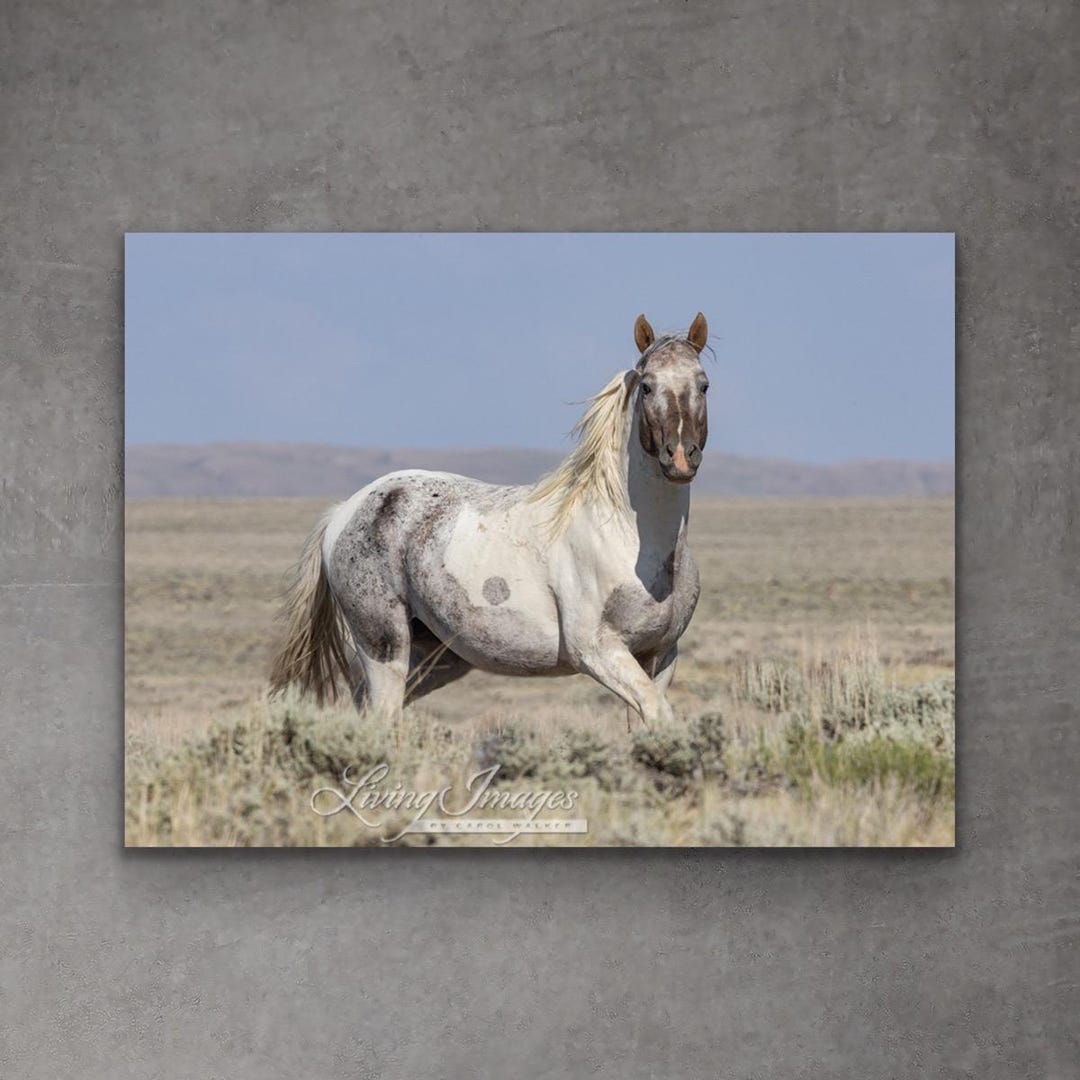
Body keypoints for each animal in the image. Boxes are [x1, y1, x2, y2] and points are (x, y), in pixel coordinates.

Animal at [269, 312, 711, 728]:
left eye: (703, 384)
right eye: (647, 385)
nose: (680, 457)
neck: (632, 539)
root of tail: (344, 511)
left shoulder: (659, 656)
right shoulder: (597, 650)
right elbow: (659, 713)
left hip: (437, 654)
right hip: (383, 644)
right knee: (381, 712)